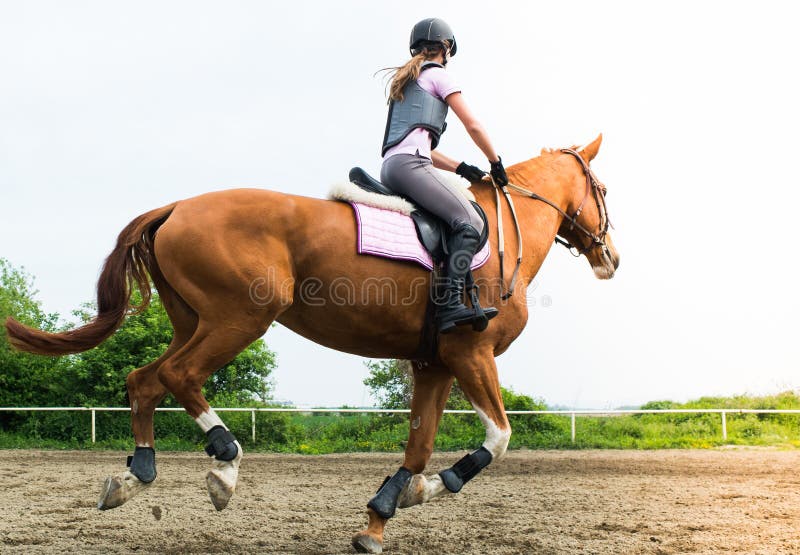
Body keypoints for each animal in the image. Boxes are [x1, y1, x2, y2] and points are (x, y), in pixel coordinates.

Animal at [4, 134, 618, 554]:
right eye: (604, 190)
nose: (611, 257)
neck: (502, 231)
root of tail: (175, 206)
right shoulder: (471, 353)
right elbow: (498, 438)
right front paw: (428, 490)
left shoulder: (434, 364)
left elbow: (417, 449)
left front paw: (381, 517)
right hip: (240, 318)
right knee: (179, 377)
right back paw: (224, 468)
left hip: (194, 321)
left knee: (144, 381)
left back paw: (134, 477)